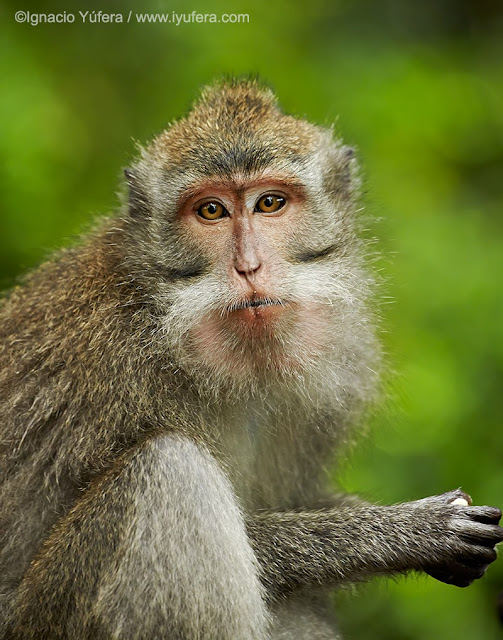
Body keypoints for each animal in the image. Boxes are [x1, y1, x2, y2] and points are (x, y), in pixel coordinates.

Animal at [0, 78, 502, 640]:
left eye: (270, 203)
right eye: (211, 211)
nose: (249, 266)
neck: (167, 321)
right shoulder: (117, 367)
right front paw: (405, 530)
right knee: (169, 470)